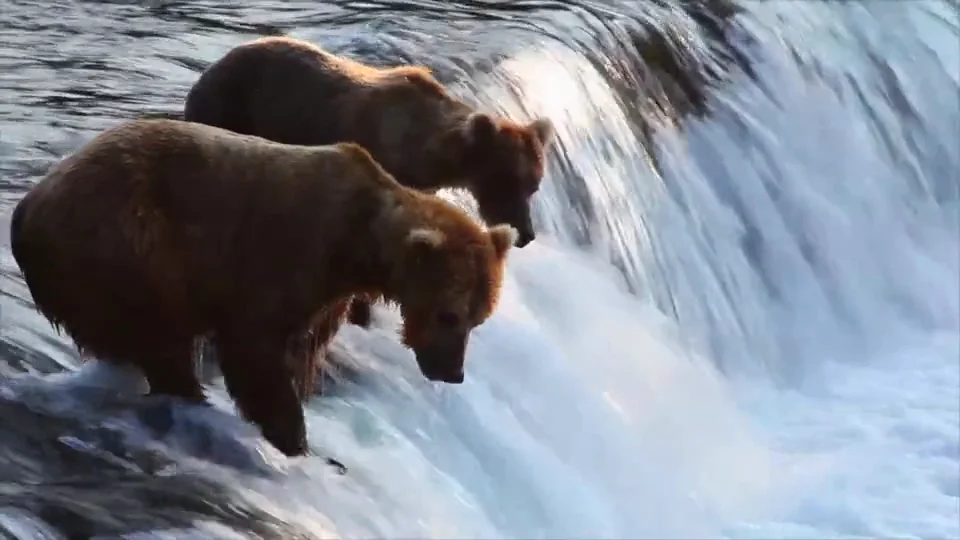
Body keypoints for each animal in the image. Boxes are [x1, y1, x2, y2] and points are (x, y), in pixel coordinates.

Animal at [10, 118, 516, 457]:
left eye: (477, 319)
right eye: (449, 315)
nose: (453, 372)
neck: (356, 247)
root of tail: (26, 207)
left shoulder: (325, 293)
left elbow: (303, 350)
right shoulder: (280, 257)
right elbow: (256, 353)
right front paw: (294, 438)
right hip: (125, 247)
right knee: (160, 336)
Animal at [182, 35, 554, 328]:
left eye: (533, 186)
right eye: (505, 183)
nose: (526, 234)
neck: (423, 150)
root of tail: (218, 62)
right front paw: (360, 310)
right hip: (230, 109)